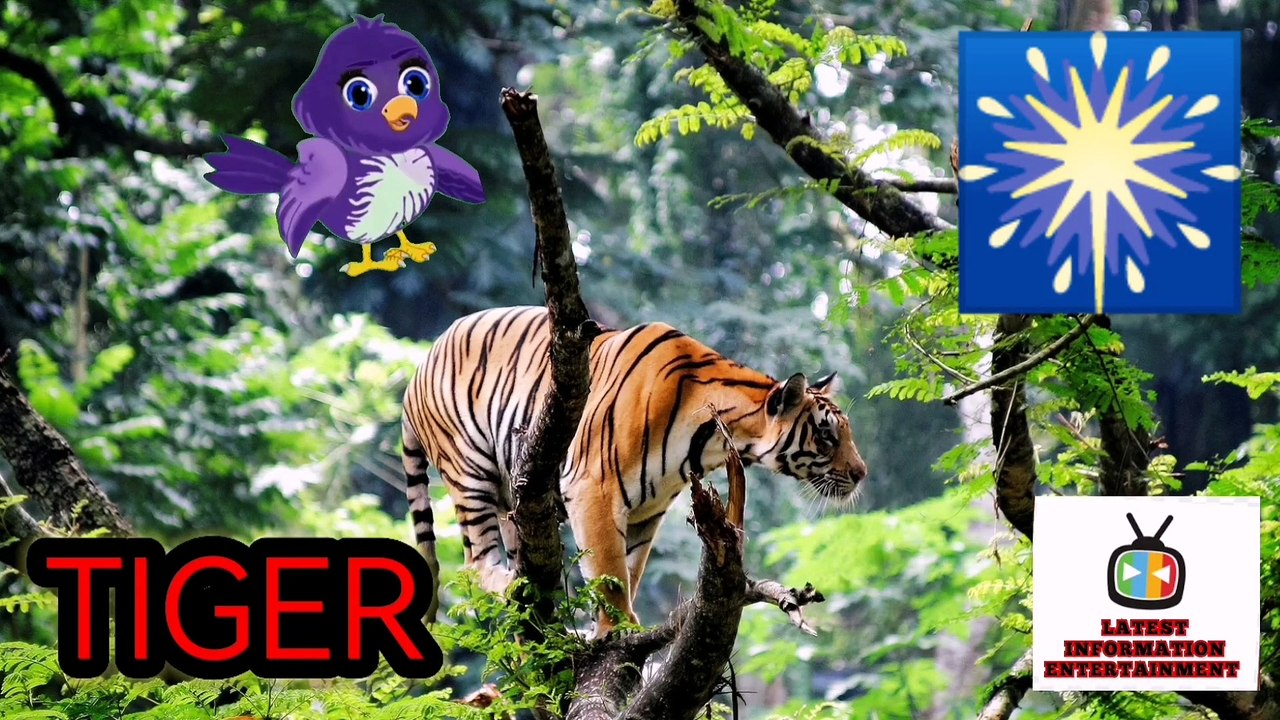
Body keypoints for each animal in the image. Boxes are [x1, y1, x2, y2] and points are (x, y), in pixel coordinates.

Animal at [400, 305, 868, 636]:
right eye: (827, 436)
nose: (862, 474)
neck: (713, 441)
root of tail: (417, 370)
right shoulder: (594, 488)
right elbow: (609, 572)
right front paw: (617, 629)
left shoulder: (648, 509)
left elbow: (630, 568)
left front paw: (605, 629)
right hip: (470, 472)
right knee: (474, 563)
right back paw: (514, 588)